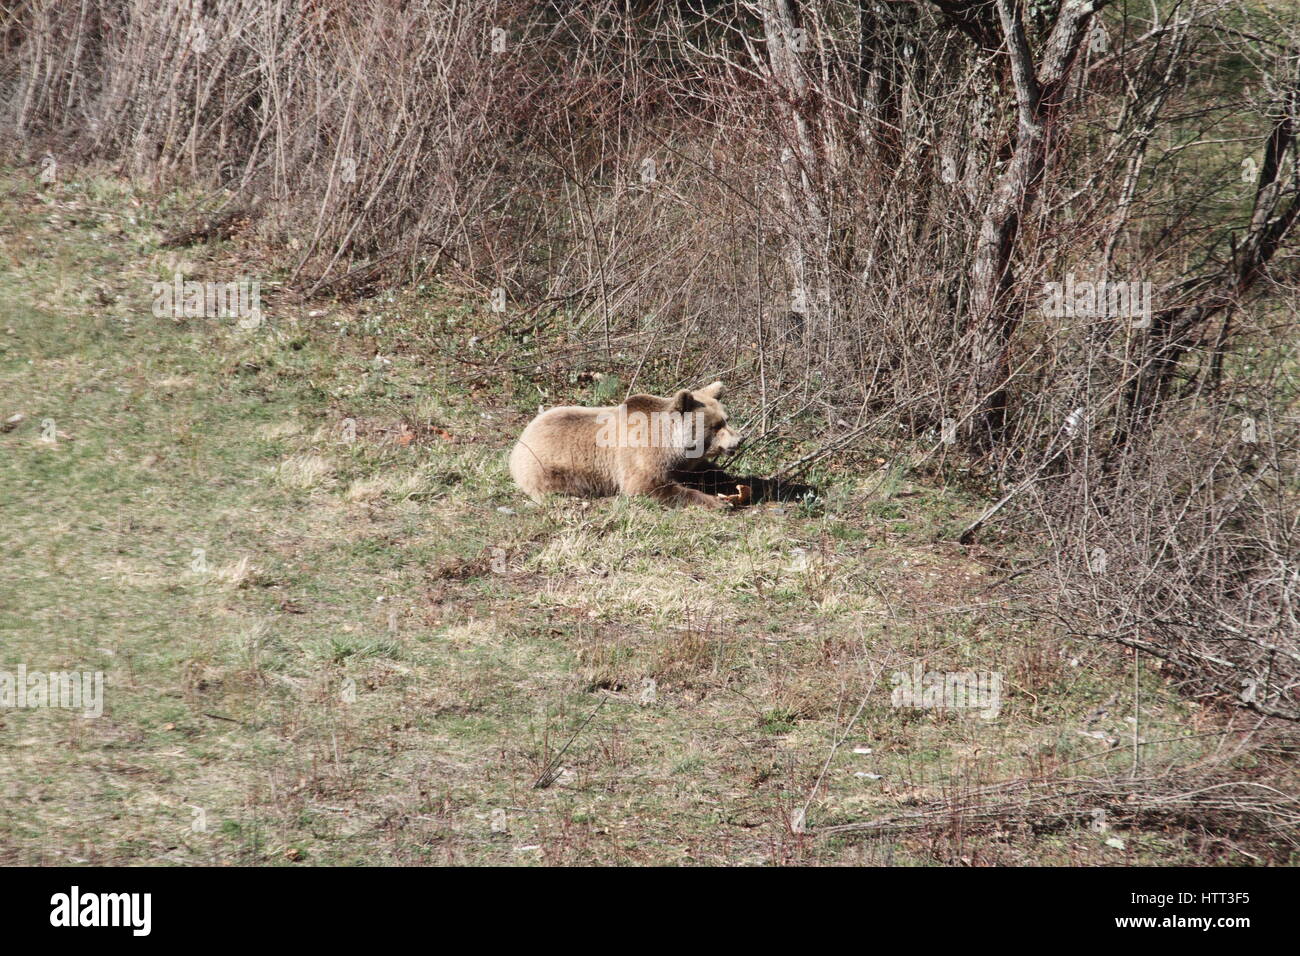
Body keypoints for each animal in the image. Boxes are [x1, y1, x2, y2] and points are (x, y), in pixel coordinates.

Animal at [509, 381, 742, 509]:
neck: (672, 445)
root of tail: (522, 438)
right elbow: (647, 486)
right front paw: (718, 501)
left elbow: (708, 471)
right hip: (550, 468)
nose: (739, 439)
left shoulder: (685, 463)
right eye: (715, 426)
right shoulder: (641, 456)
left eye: (726, 419)